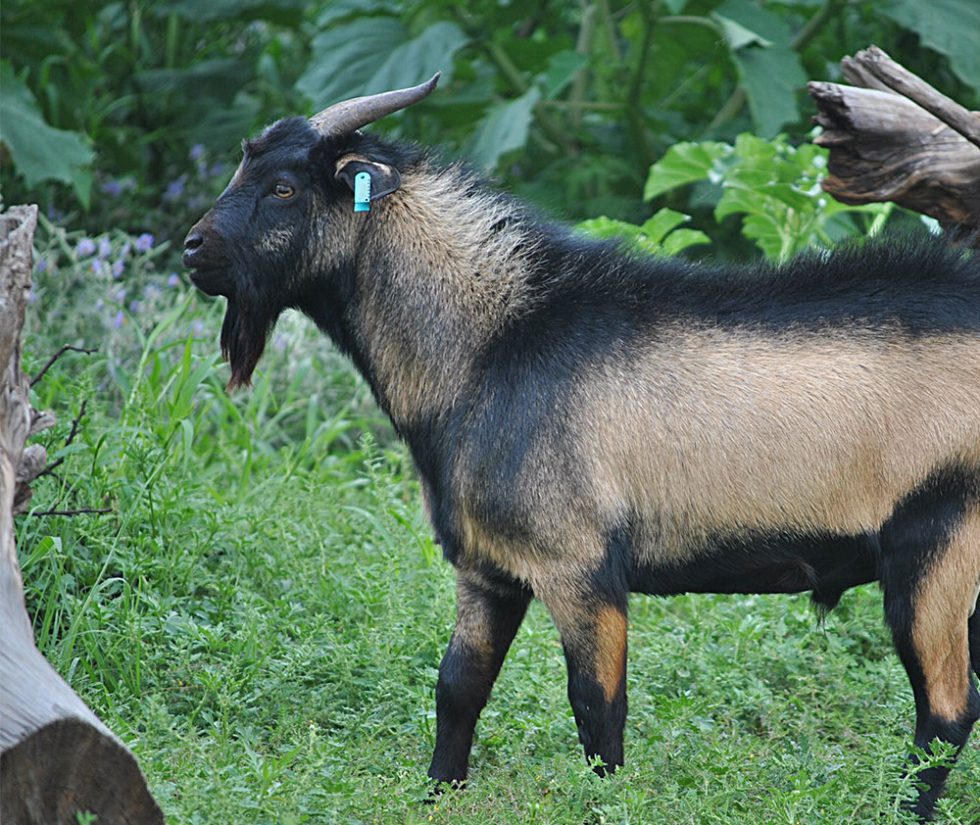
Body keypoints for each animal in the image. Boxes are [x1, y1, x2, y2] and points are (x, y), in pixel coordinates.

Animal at [183, 75, 980, 820]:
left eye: (283, 186)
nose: (192, 249)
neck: (492, 345)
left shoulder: (579, 563)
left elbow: (598, 709)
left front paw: (605, 806)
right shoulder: (489, 566)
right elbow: (458, 686)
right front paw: (436, 795)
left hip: (939, 543)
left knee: (946, 708)